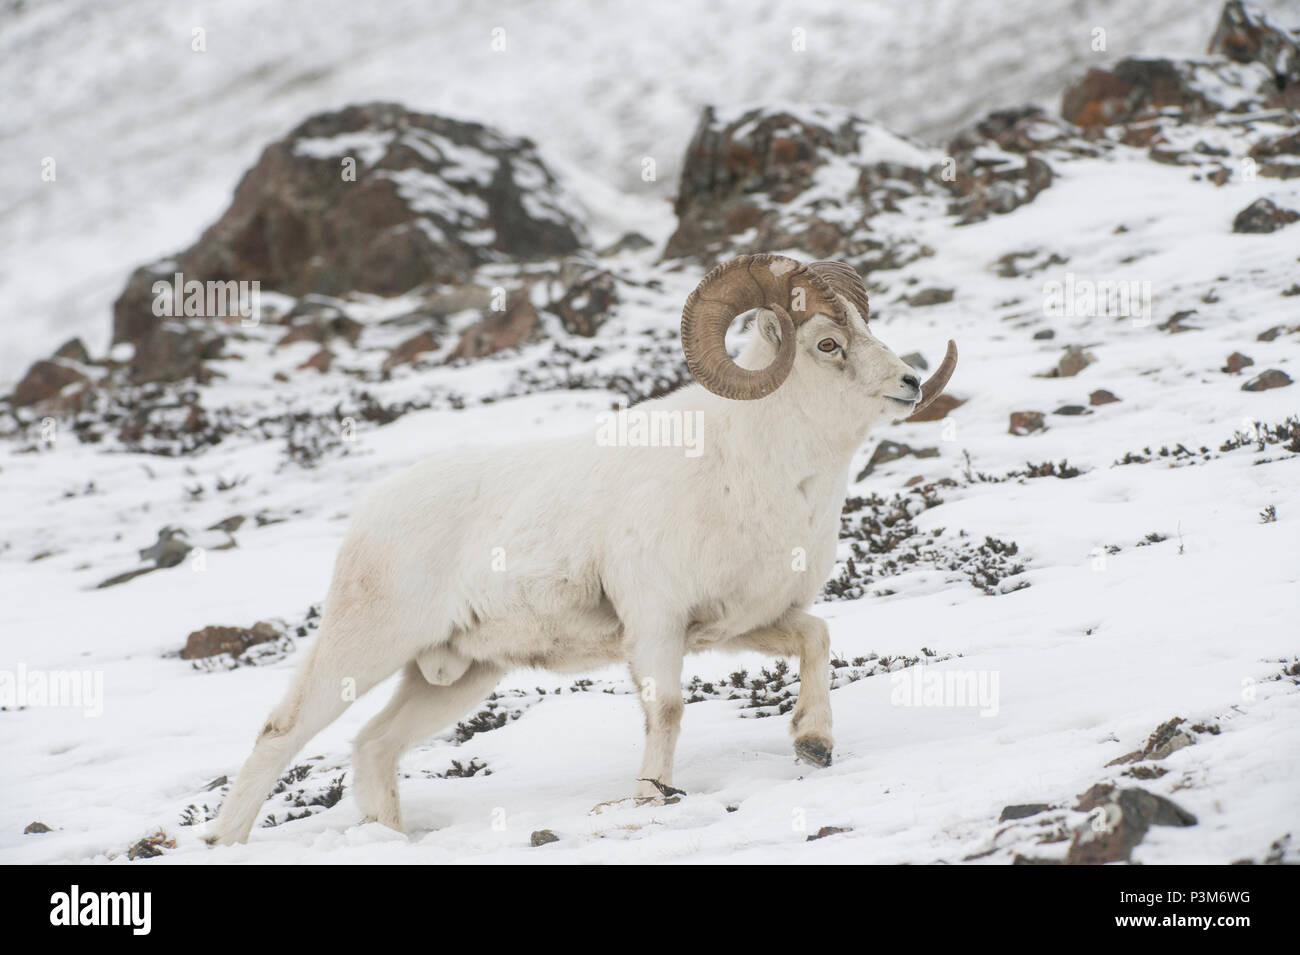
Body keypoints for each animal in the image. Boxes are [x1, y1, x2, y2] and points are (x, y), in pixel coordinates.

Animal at [204, 253, 957, 846]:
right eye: (828, 344)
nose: (911, 383)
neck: (760, 470)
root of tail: (367, 518)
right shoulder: (655, 625)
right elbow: (667, 711)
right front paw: (652, 799)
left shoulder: (741, 623)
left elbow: (817, 637)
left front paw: (814, 745)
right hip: (364, 648)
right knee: (282, 731)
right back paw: (226, 841)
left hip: (455, 676)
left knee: (373, 747)